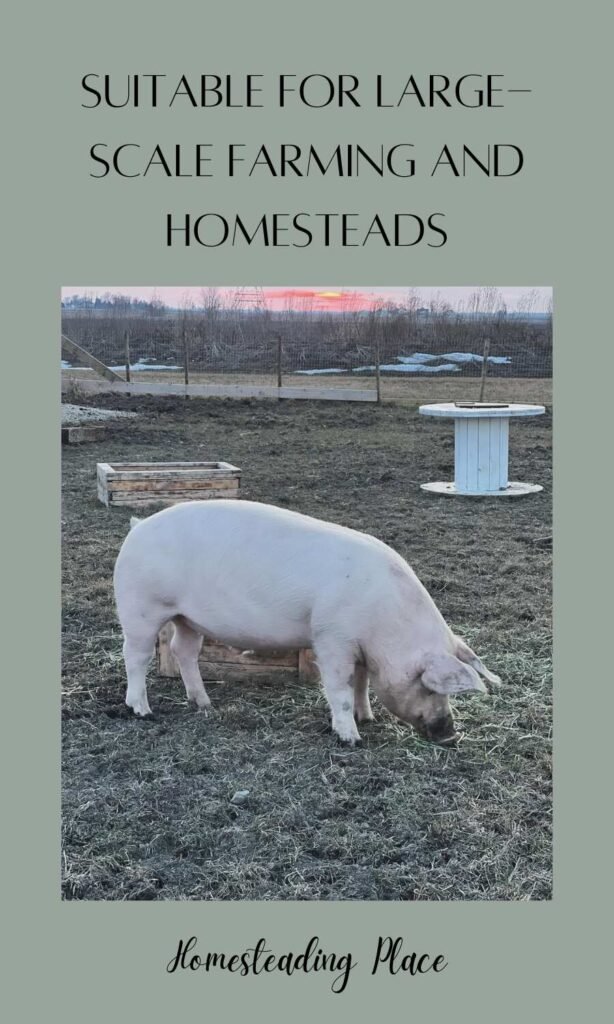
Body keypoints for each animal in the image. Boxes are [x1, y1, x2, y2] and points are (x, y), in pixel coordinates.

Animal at [113, 499, 501, 746]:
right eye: (429, 687)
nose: (450, 735)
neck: (386, 624)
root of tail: (137, 527)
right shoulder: (332, 639)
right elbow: (340, 686)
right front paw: (352, 738)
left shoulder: (361, 649)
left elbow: (361, 684)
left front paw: (368, 718)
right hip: (141, 608)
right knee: (135, 655)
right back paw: (143, 711)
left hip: (187, 618)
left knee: (183, 650)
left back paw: (205, 705)